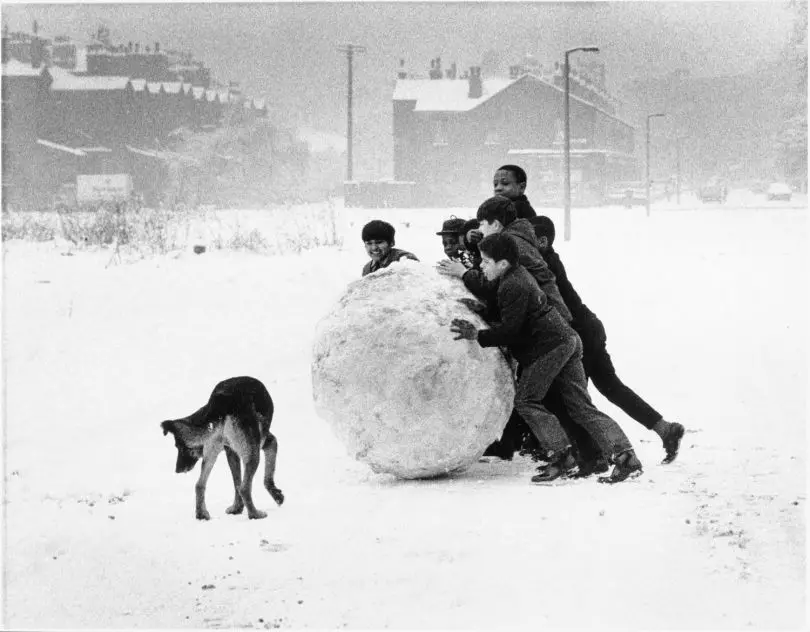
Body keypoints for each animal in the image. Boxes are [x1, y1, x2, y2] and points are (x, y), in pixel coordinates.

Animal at [159, 378, 282, 520]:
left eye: (181, 448)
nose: (177, 470)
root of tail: (220, 403)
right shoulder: (270, 443)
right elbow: (268, 476)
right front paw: (277, 496)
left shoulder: (230, 452)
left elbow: (237, 482)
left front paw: (237, 508)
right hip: (253, 454)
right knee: (245, 488)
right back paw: (255, 514)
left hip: (211, 453)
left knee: (200, 485)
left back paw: (201, 514)